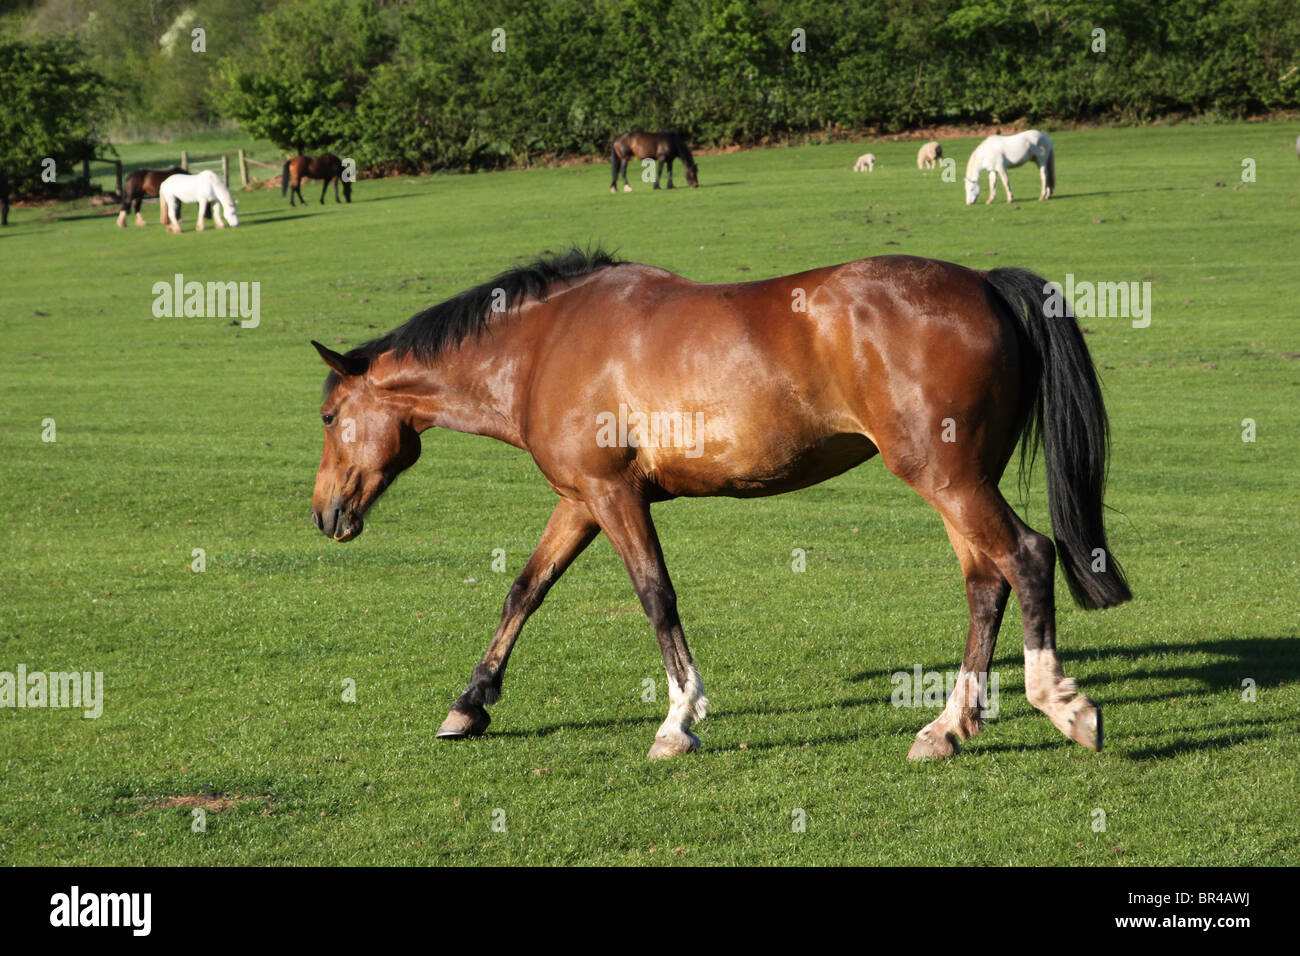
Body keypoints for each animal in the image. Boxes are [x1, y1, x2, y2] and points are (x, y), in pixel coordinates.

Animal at [308, 248, 1131, 761]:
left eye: (327, 418)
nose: (324, 514)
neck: (543, 345)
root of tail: (985, 286)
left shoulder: (613, 496)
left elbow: (655, 595)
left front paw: (679, 720)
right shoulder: (580, 500)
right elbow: (525, 590)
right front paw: (471, 702)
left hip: (947, 477)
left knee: (1026, 556)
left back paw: (1060, 702)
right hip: (955, 481)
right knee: (985, 583)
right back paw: (948, 726)